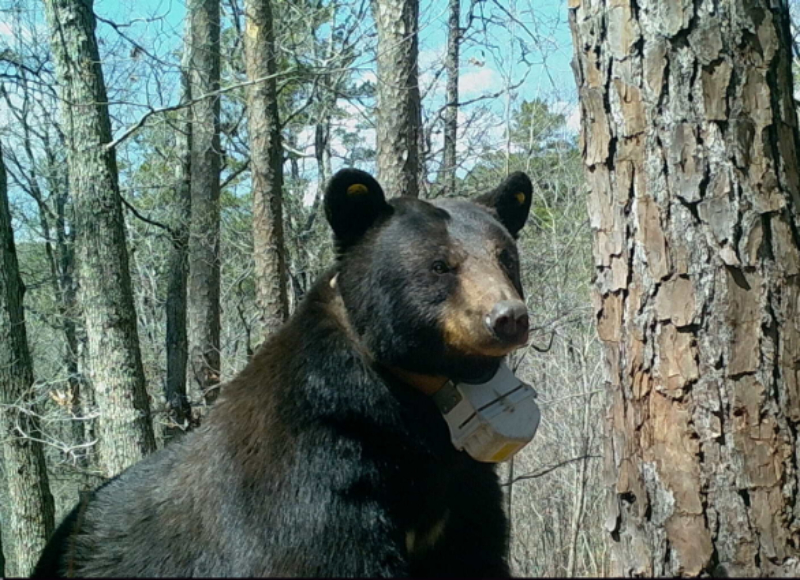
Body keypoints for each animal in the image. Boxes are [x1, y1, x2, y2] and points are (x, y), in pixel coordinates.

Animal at [33, 168, 534, 578]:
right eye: (440, 265)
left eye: (505, 257)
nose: (507, 317)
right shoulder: (315, 474)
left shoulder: (462, 491)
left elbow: (474, 554)